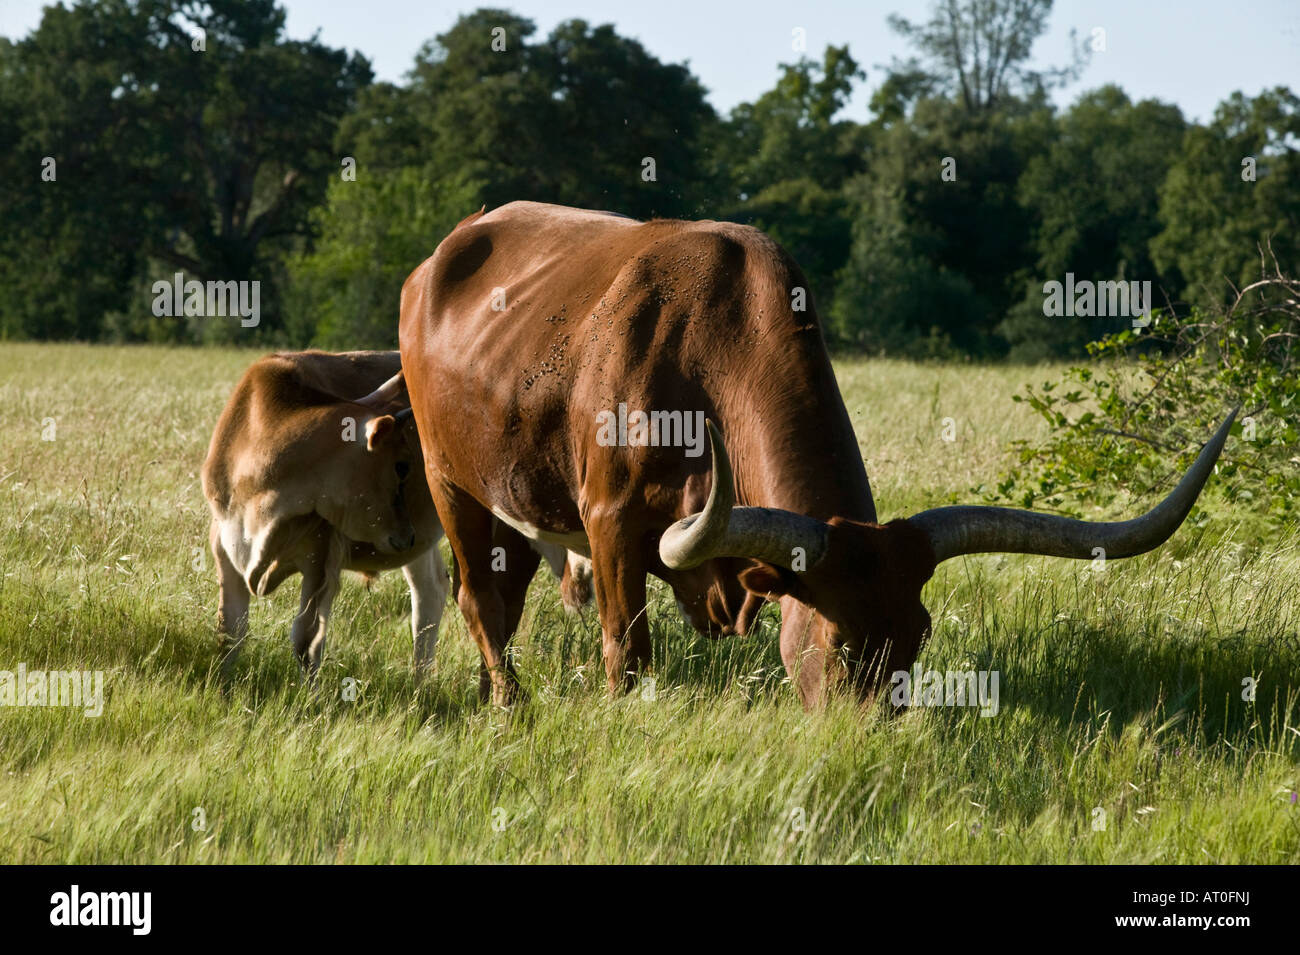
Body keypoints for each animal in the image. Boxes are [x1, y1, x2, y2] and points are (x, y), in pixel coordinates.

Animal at [202, 350, 590, 682]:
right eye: (402, 466)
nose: (406, 535)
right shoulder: (224, 546)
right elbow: (230, 631)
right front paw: (224, 688)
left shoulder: (321, 557)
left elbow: (306, 639)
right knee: (430, 591)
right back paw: (420, 685)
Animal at [398, 201, 1235, 707]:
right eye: (836, 640)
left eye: (918, 634)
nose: (869, 740)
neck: (705, 347)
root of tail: (444, 251)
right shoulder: (610, 523)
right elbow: (626, 651)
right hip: (449, 481)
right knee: (481, 601)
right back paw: (509, 708)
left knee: (501, 599)